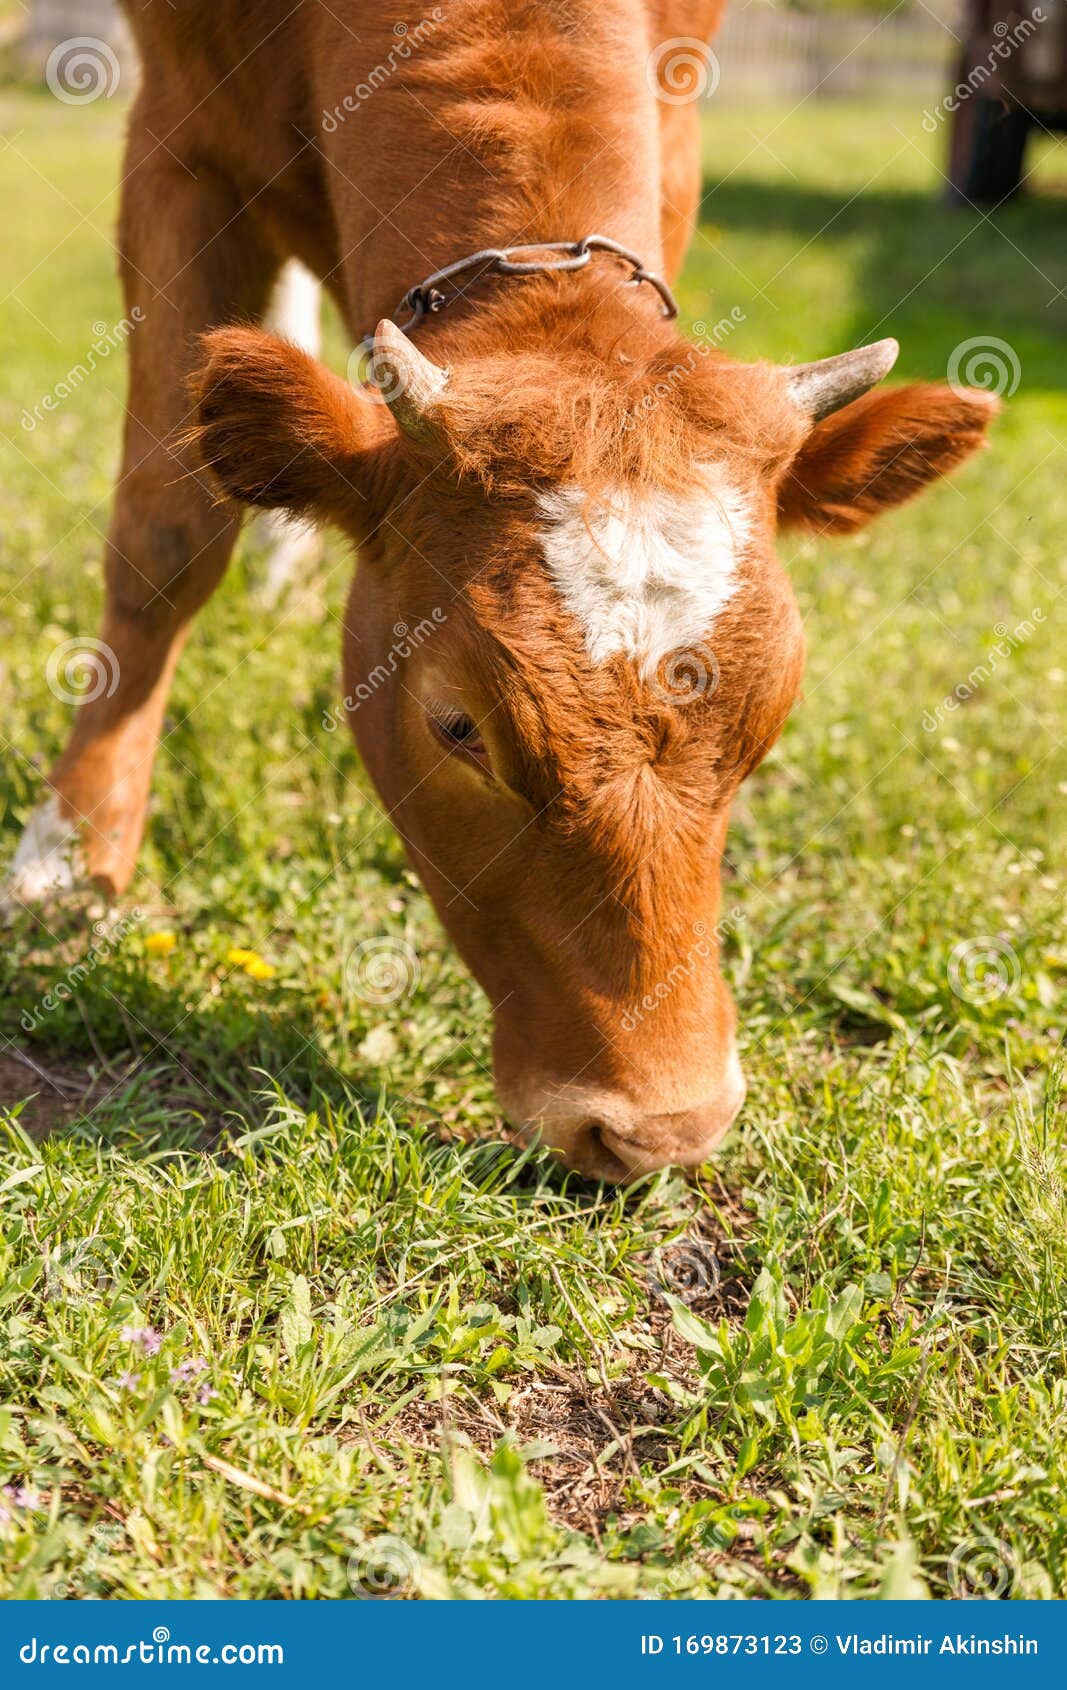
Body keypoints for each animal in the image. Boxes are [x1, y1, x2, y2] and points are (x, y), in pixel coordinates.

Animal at [5, 0, 997, 1180]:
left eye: (768, 723)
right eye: (458, 728)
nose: (663, 1127)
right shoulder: (182, 133)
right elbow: (166, 530)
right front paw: (70, 847)